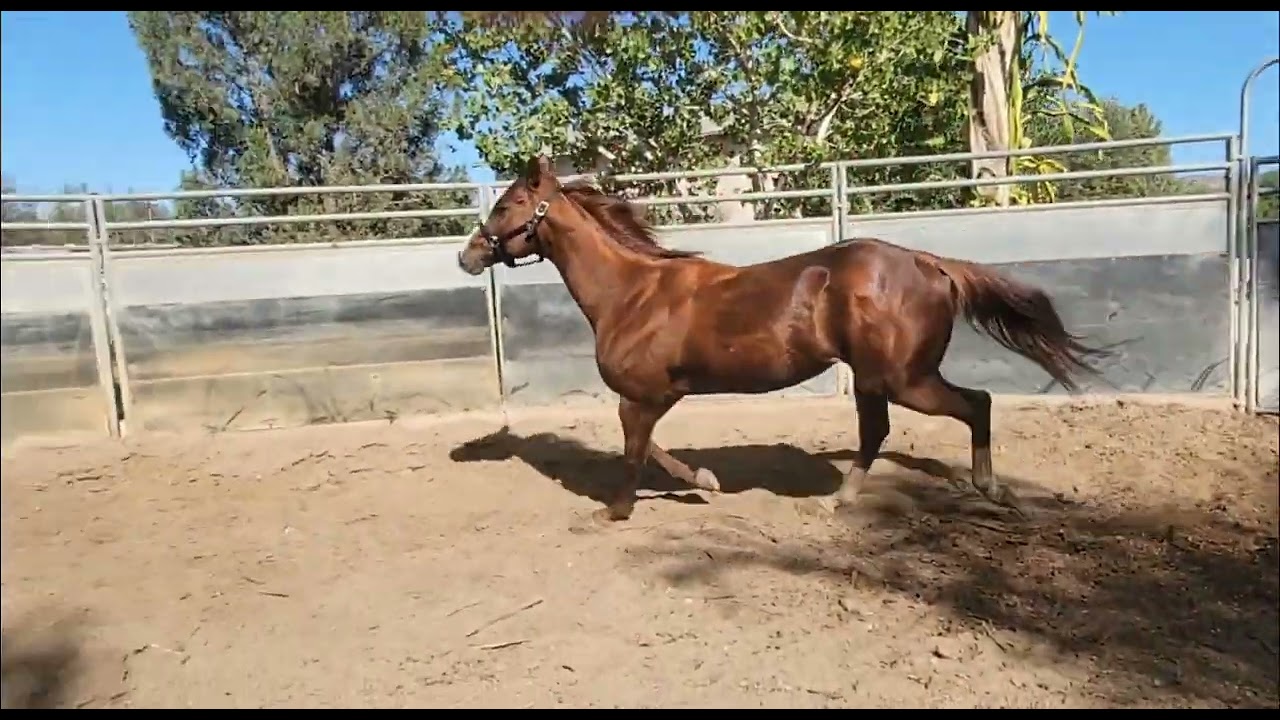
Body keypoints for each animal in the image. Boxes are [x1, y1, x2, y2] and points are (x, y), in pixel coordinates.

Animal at [457, 155, 1110, 525]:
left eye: (511, 203)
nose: (466, 255)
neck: (633, 292)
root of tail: (931, 263)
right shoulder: (656, 396)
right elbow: (655, 451)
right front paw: (705, 482)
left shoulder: (640, 395)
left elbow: (636, 453)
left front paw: (613, 512)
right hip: (878, 379)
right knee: (879, 431)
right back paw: (843, 500)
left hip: (905, 379)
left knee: (975, 404)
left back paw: (988, 489)